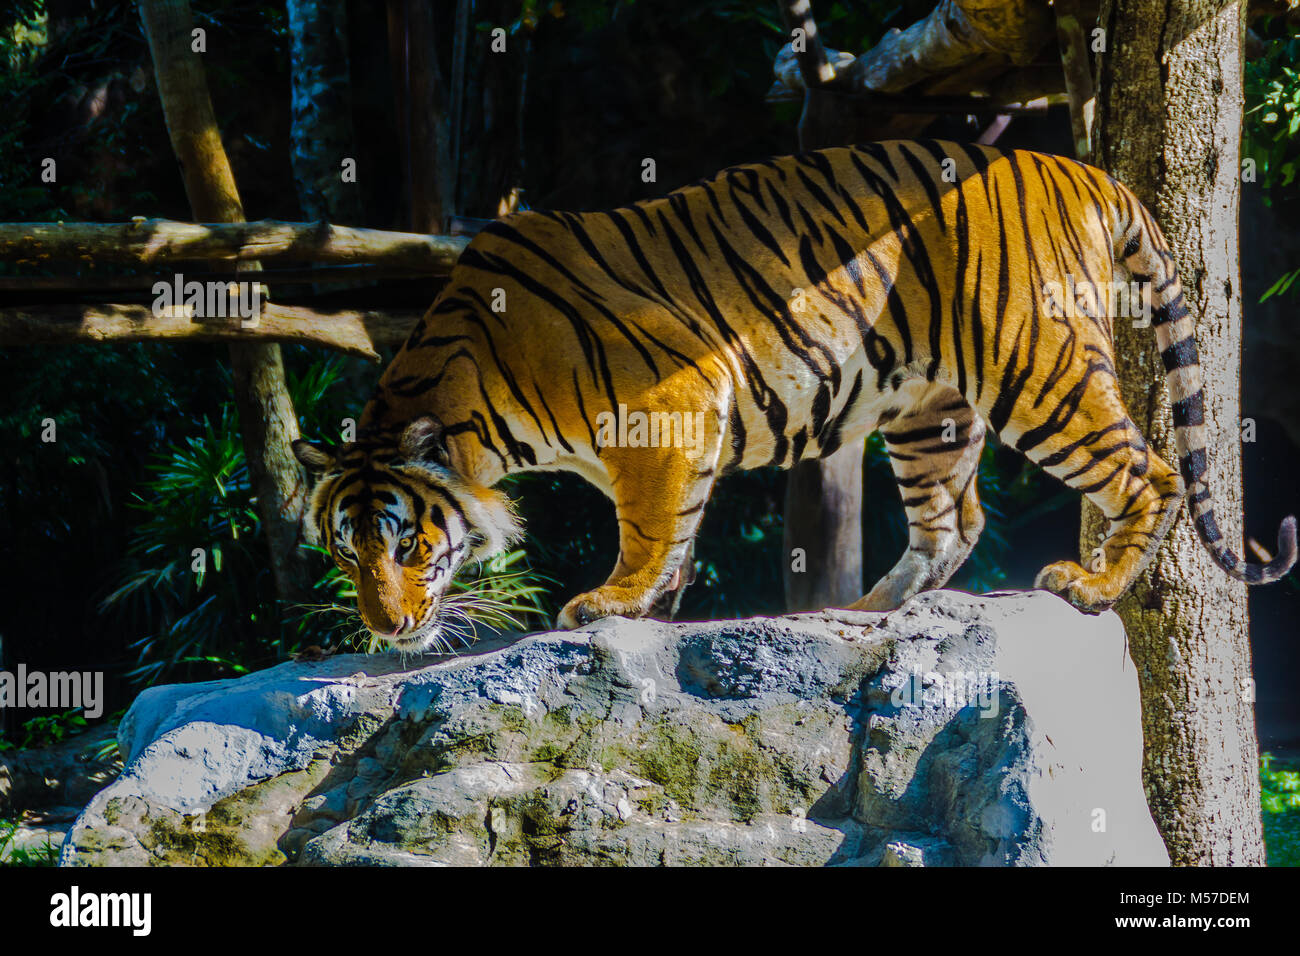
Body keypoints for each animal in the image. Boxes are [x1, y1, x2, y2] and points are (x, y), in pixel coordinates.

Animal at [293, 139, 1297, 652]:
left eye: (407, 545)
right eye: (344, 553)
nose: (385, 631)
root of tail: (1083, 168)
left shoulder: (673, 405)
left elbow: (649, 528)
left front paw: (609, 602)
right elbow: (678, 534)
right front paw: (651, 612)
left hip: (1036, 364)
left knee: (1149, 471)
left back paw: (1089, 586)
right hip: (931, 408)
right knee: (953, 521)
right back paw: (864, 613)